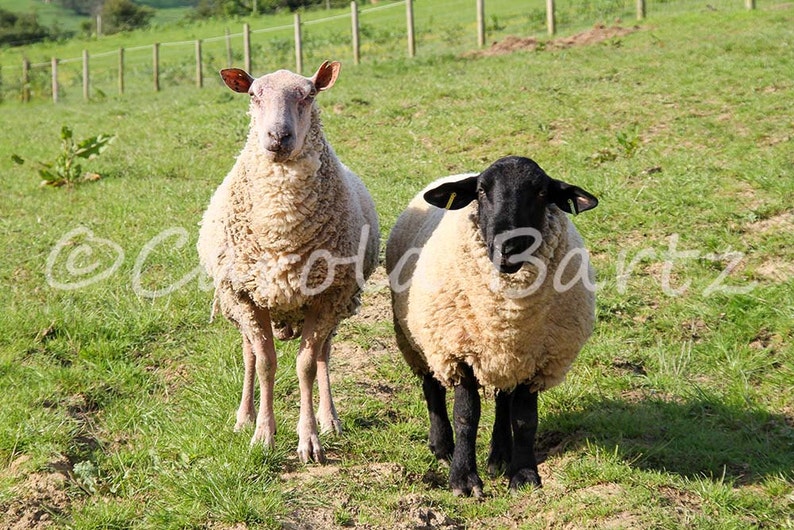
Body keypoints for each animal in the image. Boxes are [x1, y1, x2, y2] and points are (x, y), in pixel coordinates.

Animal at [197, 61, 380, 464]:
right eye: (253, 95)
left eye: (309, 95)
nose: (278, 136)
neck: (282, 226)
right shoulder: (244, 295)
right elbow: (266, 364)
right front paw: (263, 434)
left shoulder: (328, 295)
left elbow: (306, 365)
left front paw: (309, 439)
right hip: (242, 303)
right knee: (249, 354)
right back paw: (244, 417)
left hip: (337, 303)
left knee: (324, 353)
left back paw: (330, 419)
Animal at [385, 155, 598, 496]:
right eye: (482, 190)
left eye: (542, 193)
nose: (507, 247)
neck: (508, 314)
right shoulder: (458, 351)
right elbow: (466, 417)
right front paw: (463, 479)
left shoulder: (537, 360)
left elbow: (524, 419)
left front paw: (523, 474)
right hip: (418, 336)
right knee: (432, 385)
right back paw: (441, 446)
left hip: (505, 357)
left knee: (502, 401)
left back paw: (500, 456)